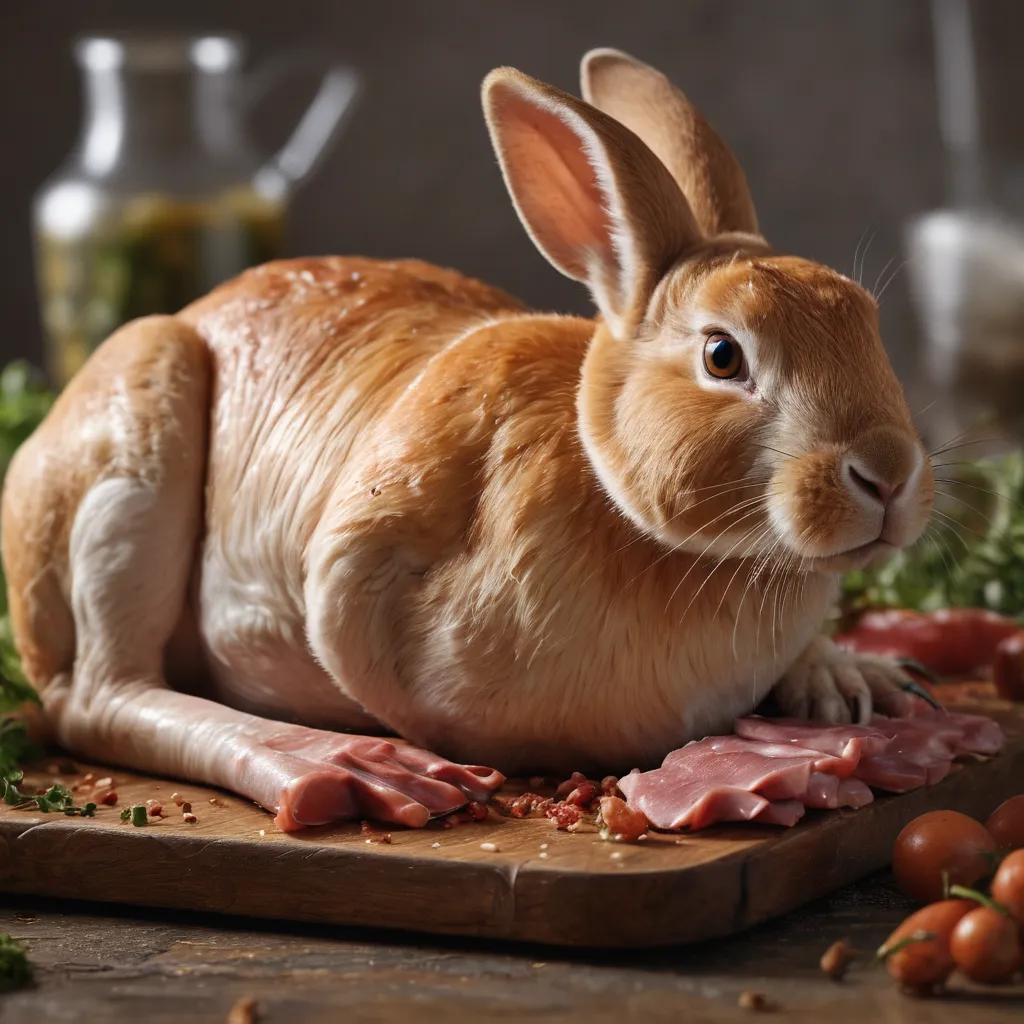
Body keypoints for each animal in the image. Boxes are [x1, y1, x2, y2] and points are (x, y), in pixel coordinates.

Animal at [1, 49, 934, 831]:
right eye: (722, 355)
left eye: (866, 320)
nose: (888, 476)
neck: (621, 497)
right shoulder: (356, 553)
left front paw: (853, 678)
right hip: (133, 458)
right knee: (100, 694)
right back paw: (327, 762)